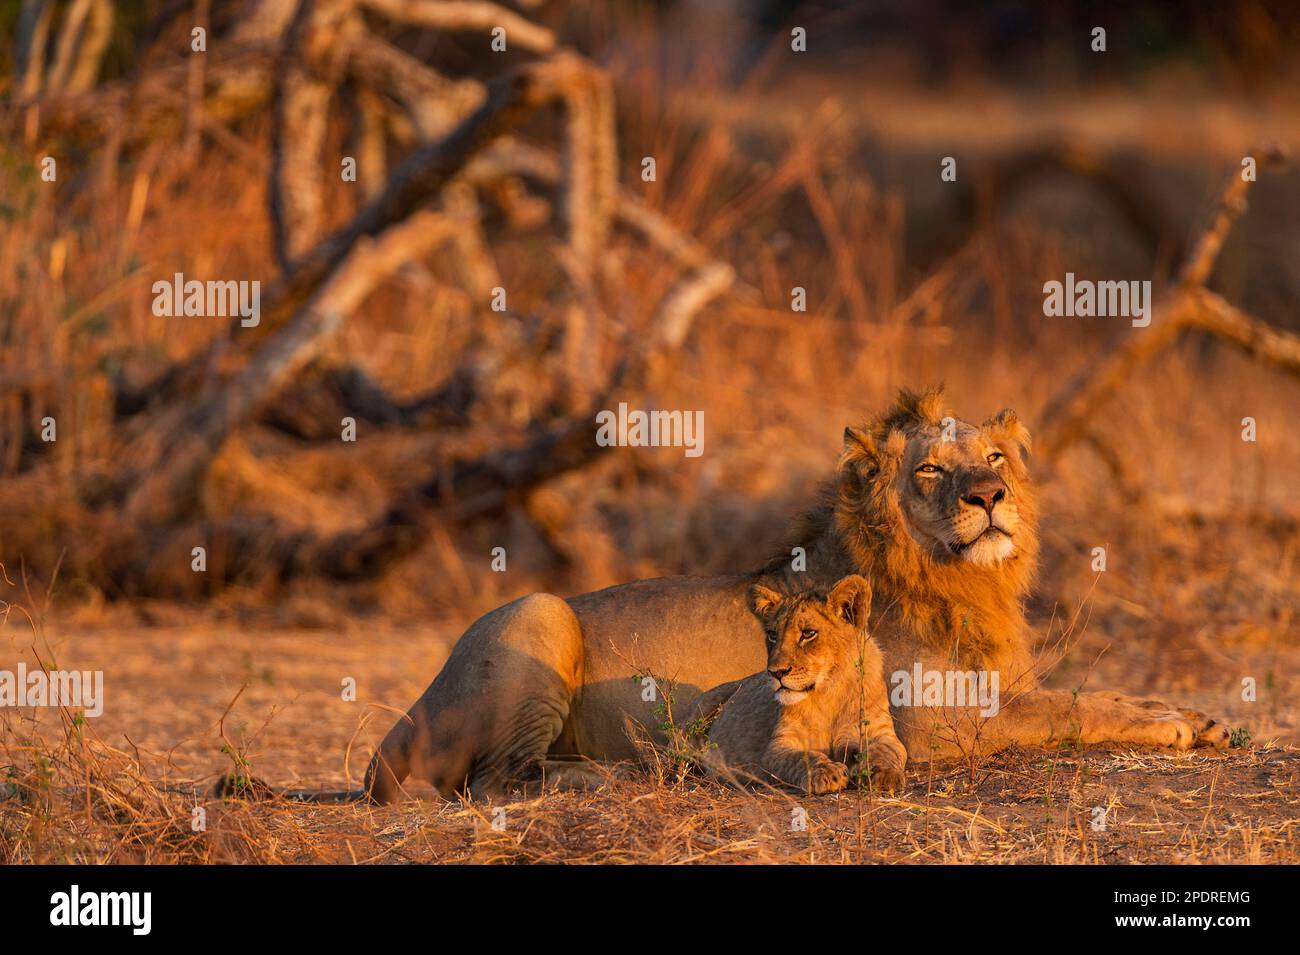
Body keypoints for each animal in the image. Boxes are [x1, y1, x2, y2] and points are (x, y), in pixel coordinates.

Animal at [688, 574, 906, 795]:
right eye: (772, 635)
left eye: (808, 633)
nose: (776, 672)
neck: (828, 692)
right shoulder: (779, 746)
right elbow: (802, 758)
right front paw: (826, 772)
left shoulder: (880, 733)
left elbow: (884, 751)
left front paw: (885, 774)